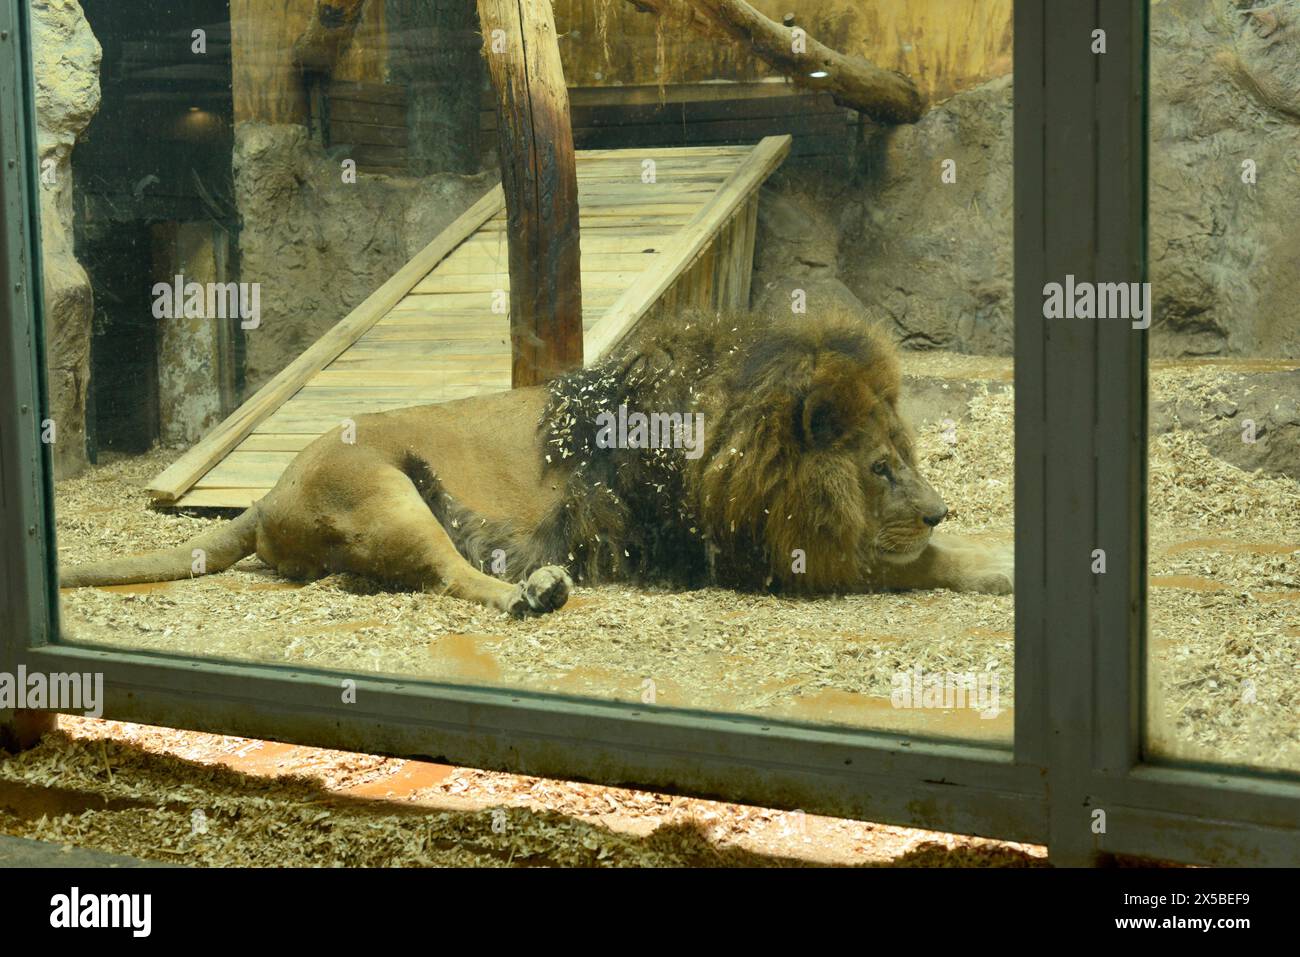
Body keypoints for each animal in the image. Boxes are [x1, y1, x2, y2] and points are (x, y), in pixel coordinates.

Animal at [61, 307, 1013, 614]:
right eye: (879, 468)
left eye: (905, 455)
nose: (937, 504)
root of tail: (264, 496)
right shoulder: (760, 555)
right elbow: (924, 561)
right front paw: (989, 560)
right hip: (386, 488)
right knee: (451, 573)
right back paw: (537, 589)